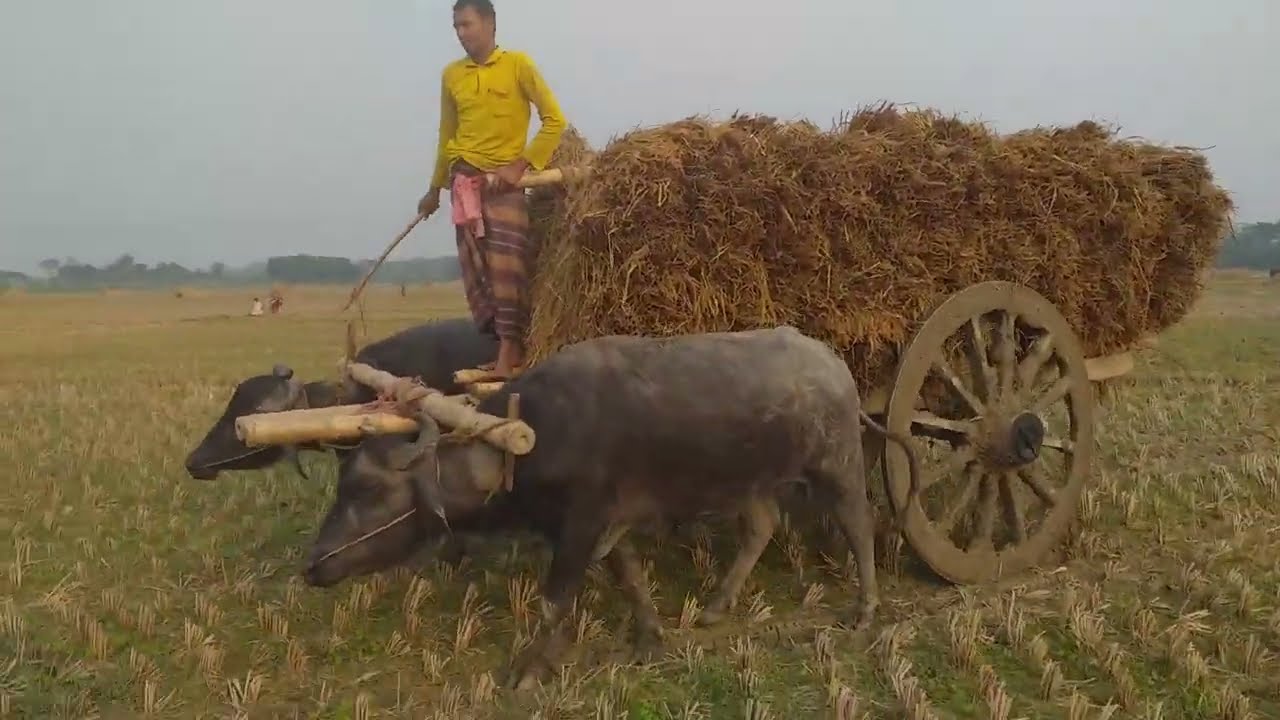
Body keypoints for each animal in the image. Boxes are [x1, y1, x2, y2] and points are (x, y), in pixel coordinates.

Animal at [301, 326, 920, 689]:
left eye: (369, 491)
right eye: (343, 482)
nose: (313, 564)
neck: (531, 436)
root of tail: (831, 362)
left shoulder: (579, 526)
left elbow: (554, 603)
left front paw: (530, 671)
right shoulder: (603, 523)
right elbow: (630, 577)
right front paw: (650, 634)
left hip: (838, 464)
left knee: (859, 524)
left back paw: (865, 608)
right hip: (751, 481)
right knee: (761, 528)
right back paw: (717, 605)